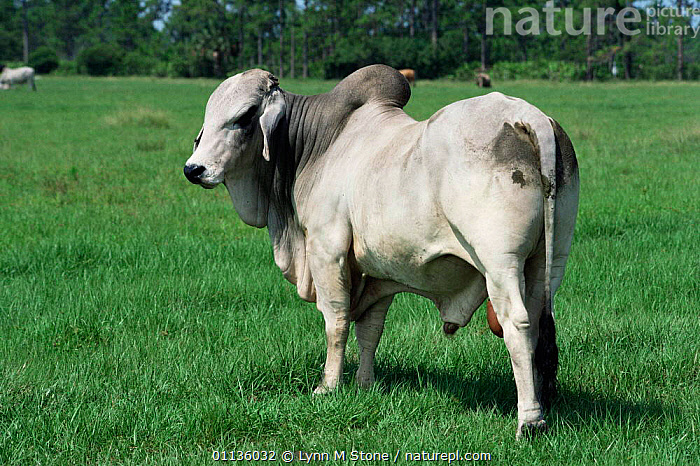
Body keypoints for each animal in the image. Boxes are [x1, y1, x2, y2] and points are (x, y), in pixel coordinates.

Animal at [183, 65, 579, 439]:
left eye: (246, 115)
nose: (193, 169)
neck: (318, 145)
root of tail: (529, 117)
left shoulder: (327, 250)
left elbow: (336, 322)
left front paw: (328, 386)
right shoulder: (378, 271)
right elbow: (370, 329)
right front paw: (364, 383)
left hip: (500, 263)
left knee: (519, 324)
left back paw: (529, 420)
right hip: (550, 262)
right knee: (541, 324)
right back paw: (544, 403)